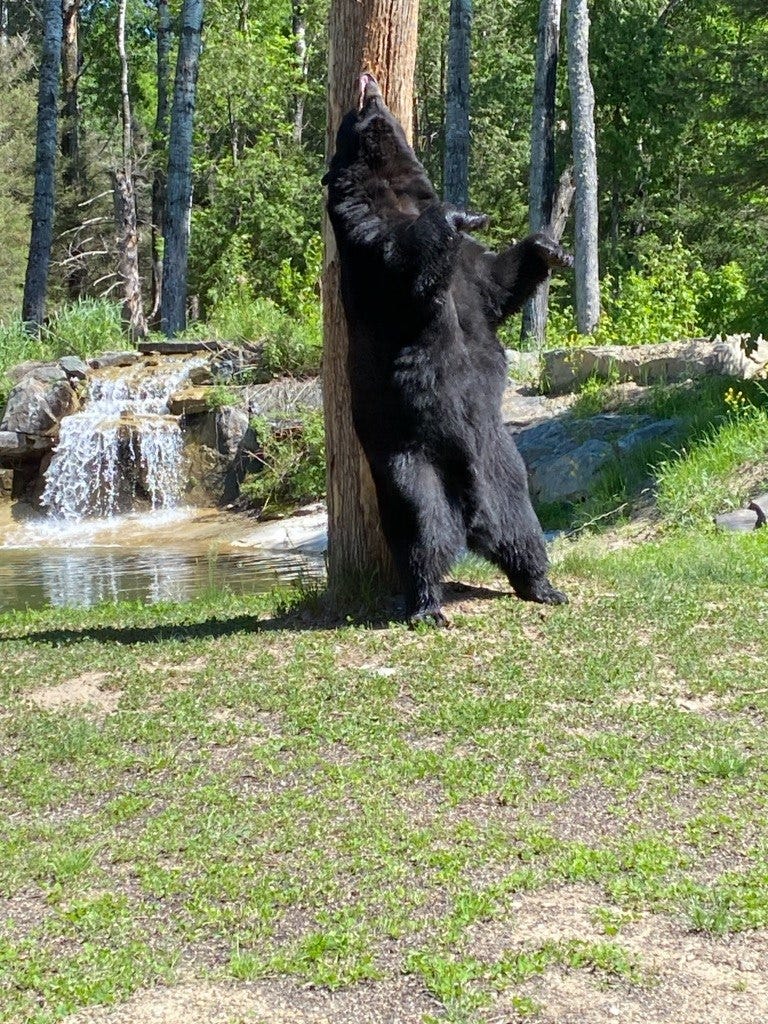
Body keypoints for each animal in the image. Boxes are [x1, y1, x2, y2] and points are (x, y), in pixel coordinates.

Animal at [323, 72, 572, 624]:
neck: (390, 186)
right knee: (420, 531)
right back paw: (426, 603)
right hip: (411, 460)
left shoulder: (469, 272)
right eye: (352, 114)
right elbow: (401, 267)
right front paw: (458, 213)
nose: (367, 76)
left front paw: (550, 247)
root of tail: (472, 511)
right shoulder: (365, 241)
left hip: (504, 467)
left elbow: (496, 283)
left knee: (522, 529)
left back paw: (544, 585)